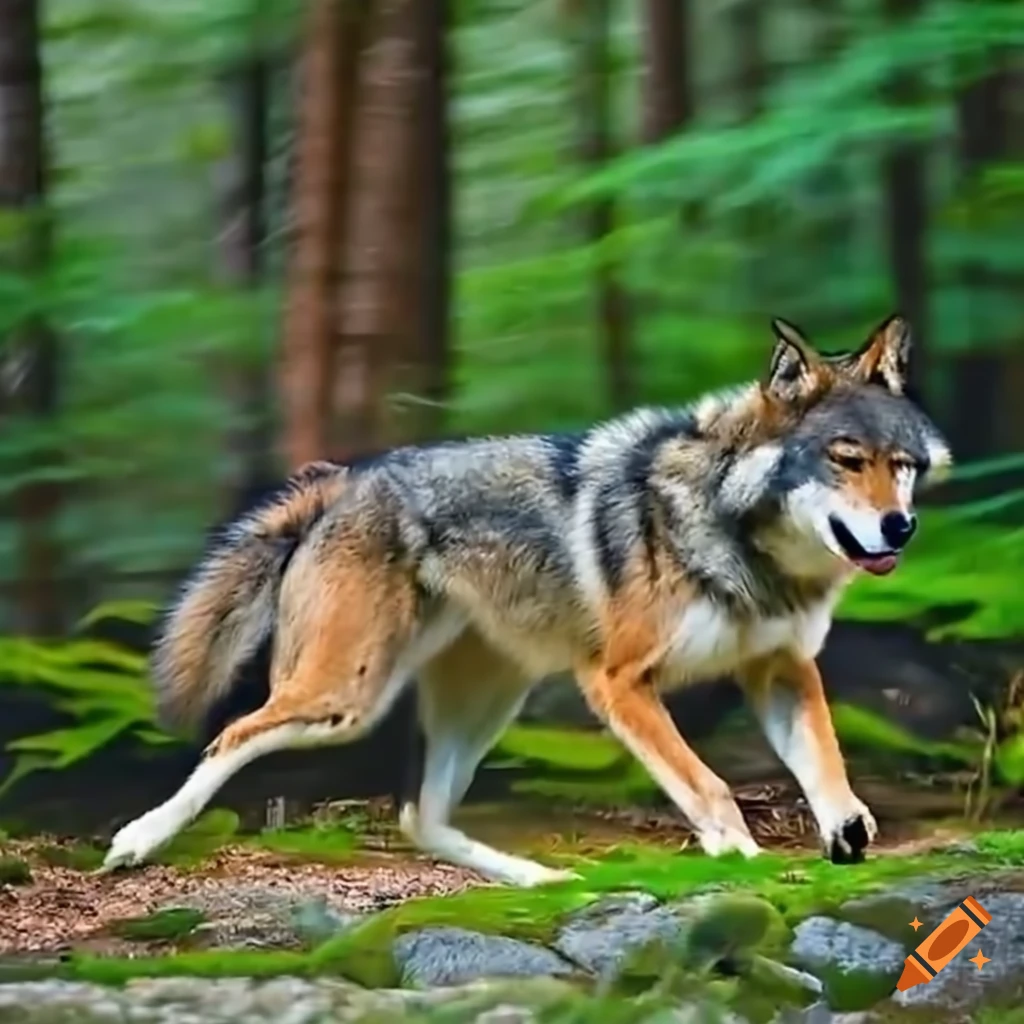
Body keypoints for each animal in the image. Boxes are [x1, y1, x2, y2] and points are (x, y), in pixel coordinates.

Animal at [103, 314, 951, 886]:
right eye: (847, 460)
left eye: (904, 465)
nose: (900, 526)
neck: (738, 538)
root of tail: (345, 477)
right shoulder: (618, 683)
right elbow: (709, 786)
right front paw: (736, 856)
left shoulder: (778, 668)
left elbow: (828, 767)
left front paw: (845, 832)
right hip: (346, 699)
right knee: (232, 736)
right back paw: (139, 838)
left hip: (483, 704)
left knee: (421, 817)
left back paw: (543, 880)